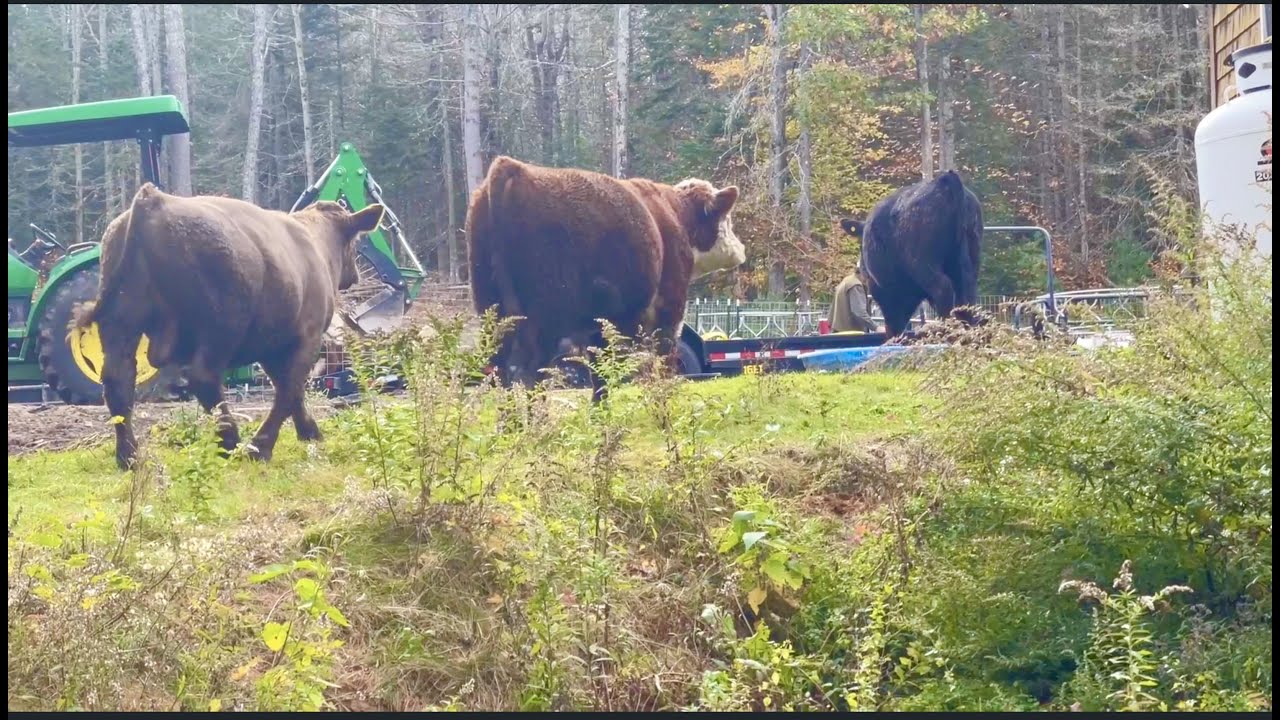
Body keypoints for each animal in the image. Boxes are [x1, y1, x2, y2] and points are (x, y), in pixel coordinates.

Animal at [76, 182, 385, 470]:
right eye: (355, 243)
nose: (355, 275)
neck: (314, 242)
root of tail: (152, 199)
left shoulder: (272, 343)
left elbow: (291, 389)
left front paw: (309, 432)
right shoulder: (307, 336)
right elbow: (289, 388)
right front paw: (261, 447)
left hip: (121, 323)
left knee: (118, 382)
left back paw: (128, 456)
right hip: (222, 325)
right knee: (204, 378)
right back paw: (231, 442)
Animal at [466, 156, 747, 400]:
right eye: (728, 219)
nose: (741, 249)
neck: (673, 212)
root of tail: (510, 167)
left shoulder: (600, 327)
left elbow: (601, 375)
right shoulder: (668, 310)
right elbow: (663, 366)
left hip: (493, 315)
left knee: (502, 373)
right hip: (543, 319)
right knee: (529, 375)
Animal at [839, 169, 984, 338]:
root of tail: (947, 179)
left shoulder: (882, 287)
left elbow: (893, 320)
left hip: (922, 263)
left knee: (944, 288)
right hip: (970, 258)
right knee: (966, 295)